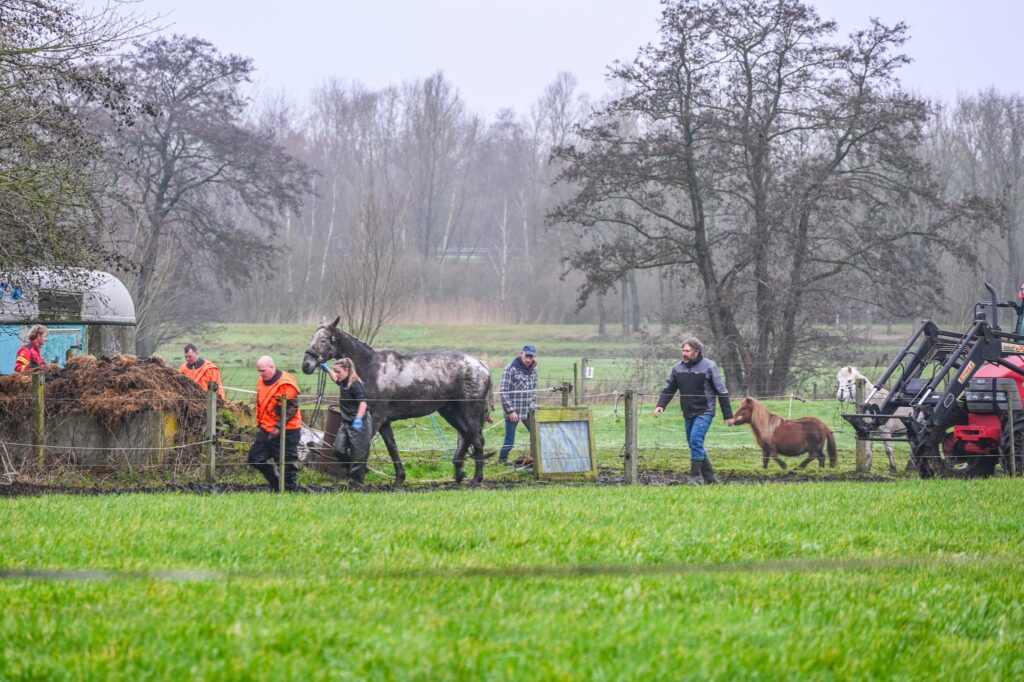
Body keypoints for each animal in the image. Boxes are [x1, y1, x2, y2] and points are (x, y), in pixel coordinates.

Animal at [302, 317, 493, 486]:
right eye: (312, 338)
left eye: (324, 340)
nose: (306, 365)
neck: (370, 367)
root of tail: (482, 365)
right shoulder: (384, 422)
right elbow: (392, 448)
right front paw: (398, 479)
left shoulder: (376, 418)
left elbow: (362, 449)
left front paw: (357, 477)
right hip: (451, 412)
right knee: (467, 437)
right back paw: (460, 473)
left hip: (469, 411)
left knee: (477, 440)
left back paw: (476, 479)